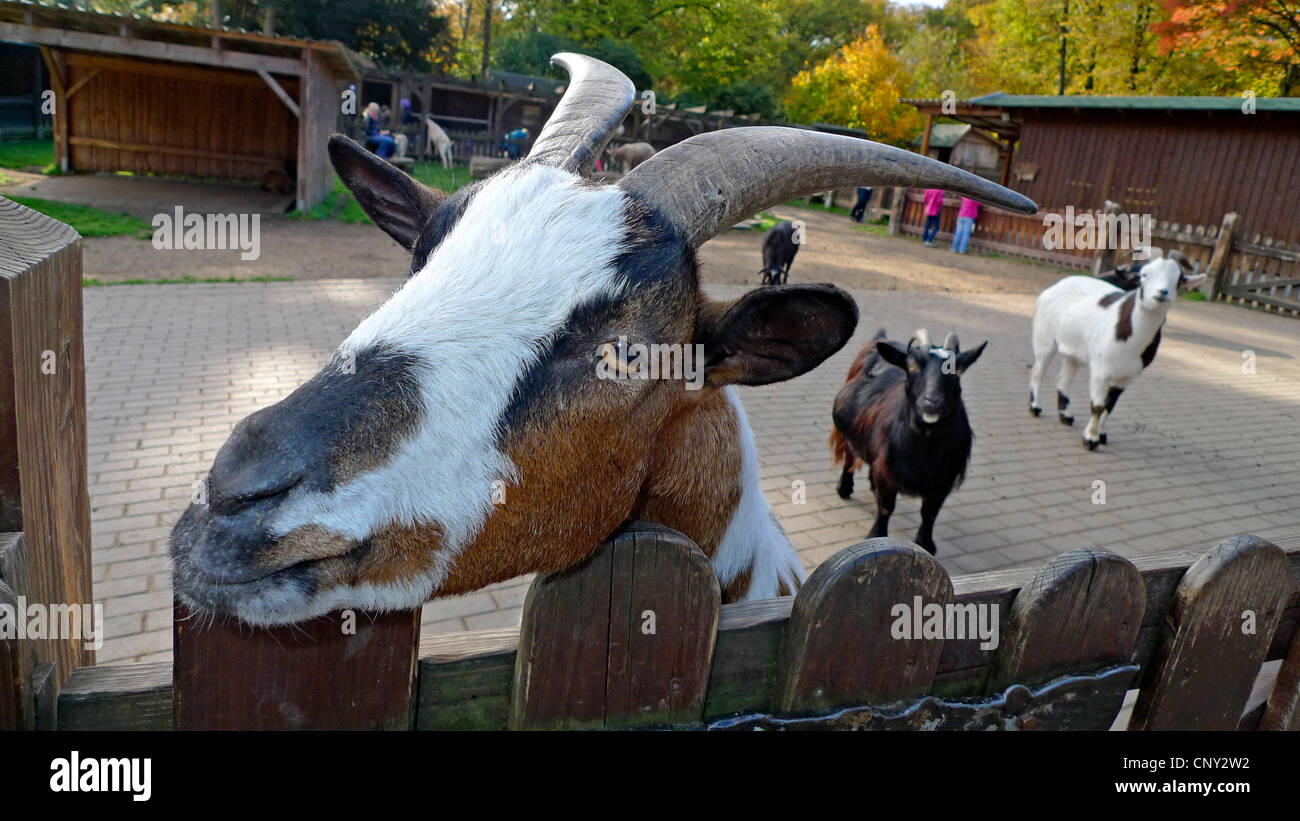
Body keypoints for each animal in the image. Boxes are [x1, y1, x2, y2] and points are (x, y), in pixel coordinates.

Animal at [830, 329, 986, 555]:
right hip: (848, 431)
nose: (931, 403)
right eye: (912, 366)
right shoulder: (887, 473)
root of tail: (882, 338)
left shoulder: (943, 481)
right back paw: (844, 487)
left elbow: (929, 513)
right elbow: (886, 507)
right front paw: (876, 534)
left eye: (956, 371)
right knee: (850, 454)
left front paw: (926, 543)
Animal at [1029, 251, 1206, 449]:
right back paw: (1035, 407)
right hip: (1044, 336)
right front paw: (1090, 439)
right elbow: (1098, 405)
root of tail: (1055, 286)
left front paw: (1101, 435)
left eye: (1179, 279)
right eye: (1144, 275)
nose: (1162, 293)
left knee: (1064, 377)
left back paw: (1065, 415)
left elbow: (1110, 405)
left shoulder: (1127, 377)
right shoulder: (1100, 371)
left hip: (1074, 350)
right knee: (1038, 370)